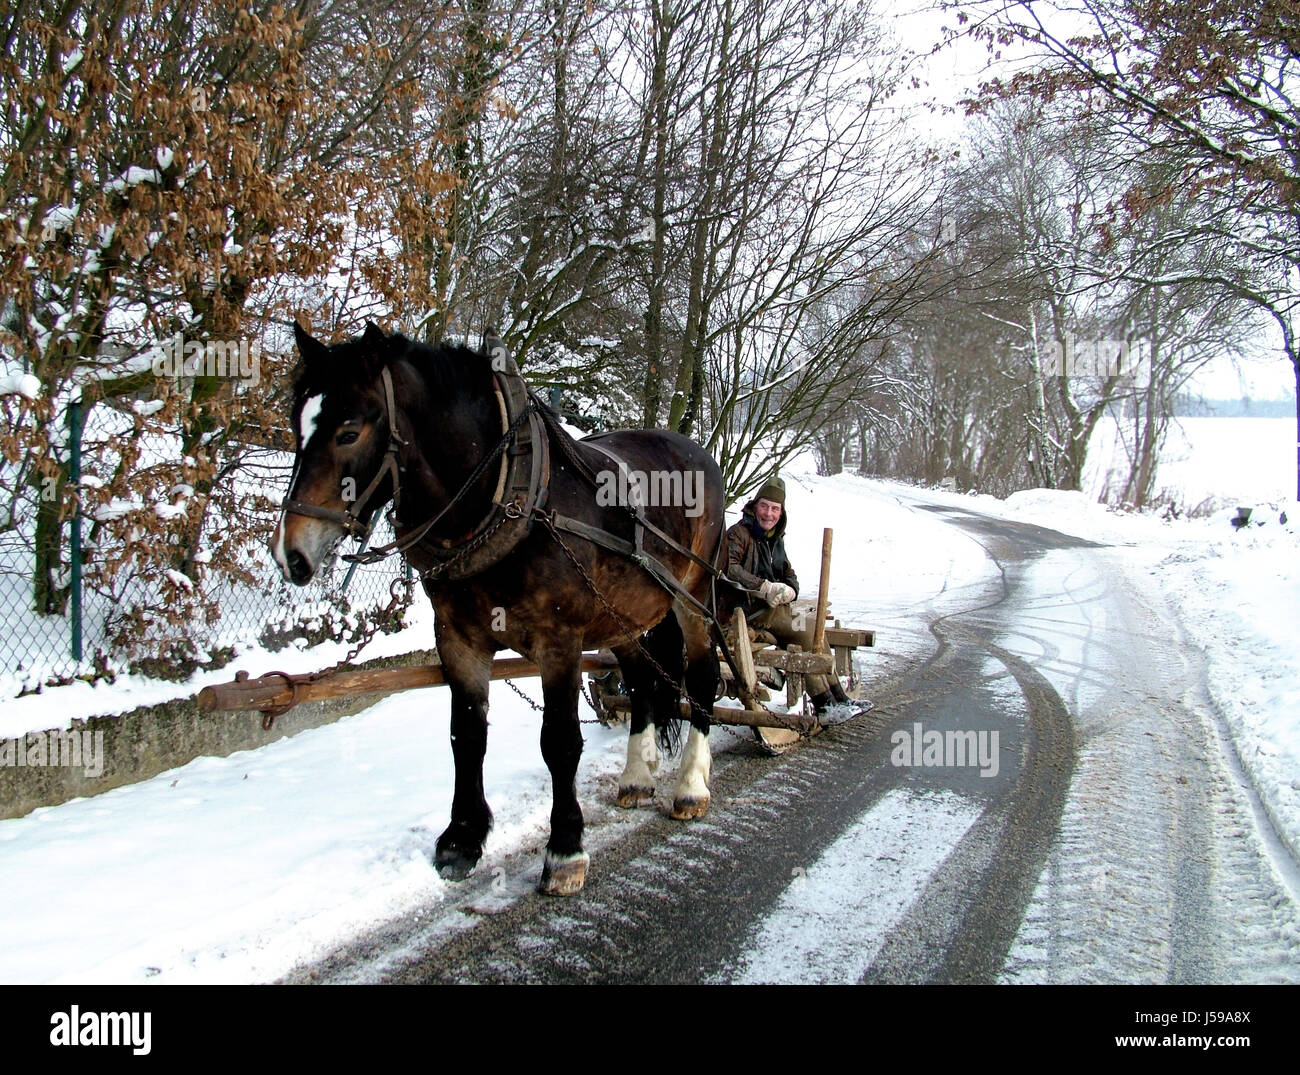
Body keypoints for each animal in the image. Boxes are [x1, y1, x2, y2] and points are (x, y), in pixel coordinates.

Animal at [270, 322, 732, 896]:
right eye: (296, 424)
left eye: (349, 432)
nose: (290, 553)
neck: (507, 499)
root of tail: (696, 450)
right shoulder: (458, 637)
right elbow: (466, 736)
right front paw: (462, 839)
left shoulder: (560, 642)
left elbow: (560, 742)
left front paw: (565, 848)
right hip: (622, 615)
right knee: (643, 683)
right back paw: (635, 779)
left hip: (695, 594)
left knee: (702, 677)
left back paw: (691, 786)